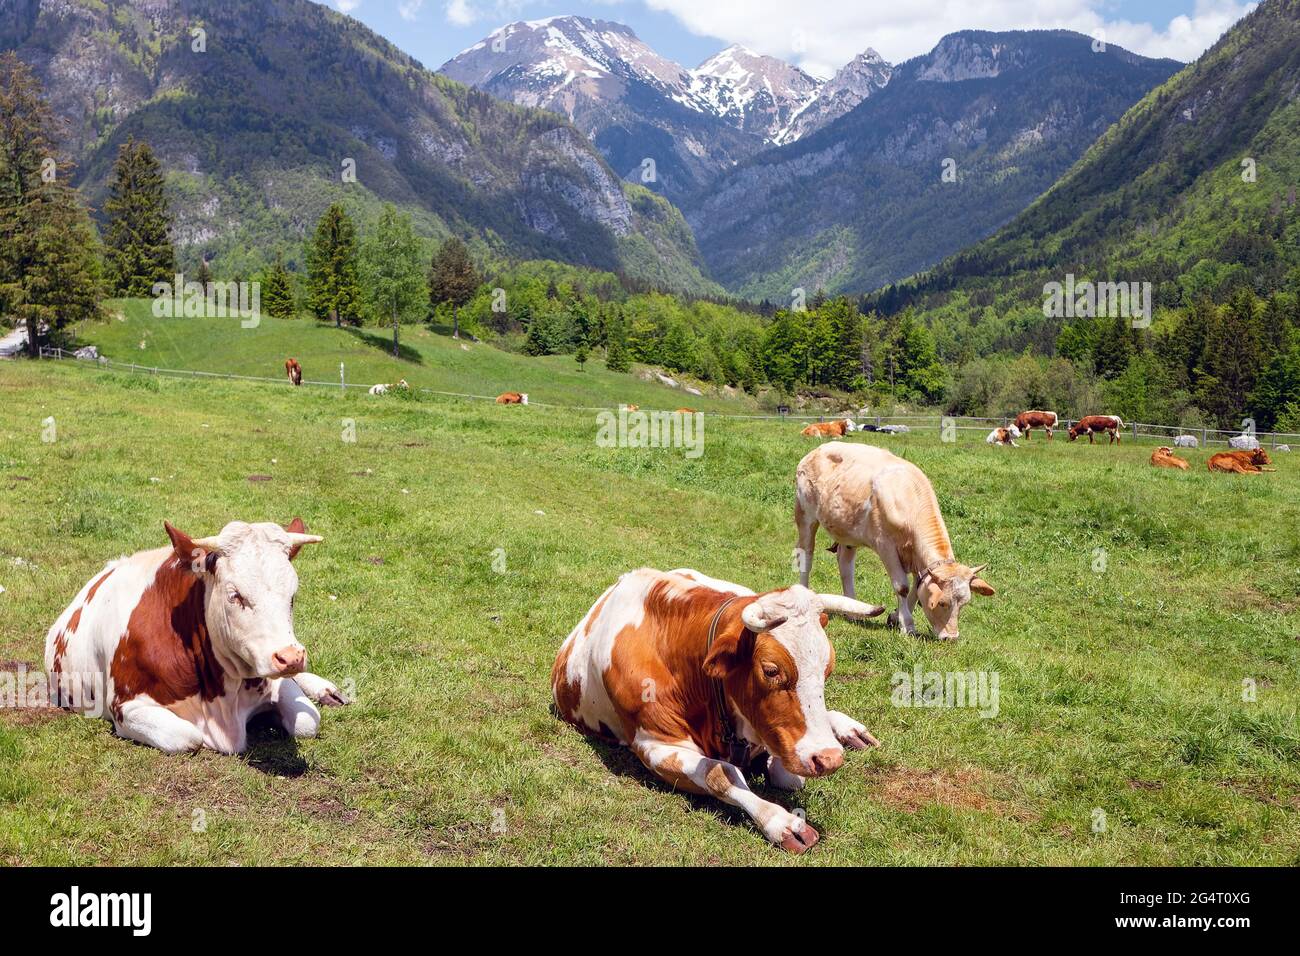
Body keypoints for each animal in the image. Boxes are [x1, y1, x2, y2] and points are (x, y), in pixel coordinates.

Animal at [44, 519, 348, 755]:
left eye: (292, 595)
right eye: (235, 595)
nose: (291, 657)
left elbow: (308, 722)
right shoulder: (127, 707)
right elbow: (188, 737)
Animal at [552, 567, 883, 853]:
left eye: (828, 669)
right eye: (771, 670)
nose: (829, 758)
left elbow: (787, 774)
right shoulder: (655, 745)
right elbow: (722, 774)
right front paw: (781, 821)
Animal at [794, 442, 994, 640]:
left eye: (964, 604)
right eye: (942, 603)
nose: (951, 637)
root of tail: (819, 449)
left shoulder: (916, 558)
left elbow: (916, 588)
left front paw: (896, 618)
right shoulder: (886, 546)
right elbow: (902, 587)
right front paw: (907, 625)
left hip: (848, 532)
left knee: (845, 565)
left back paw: (852, 611)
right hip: (805, 516)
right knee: (806, 557)